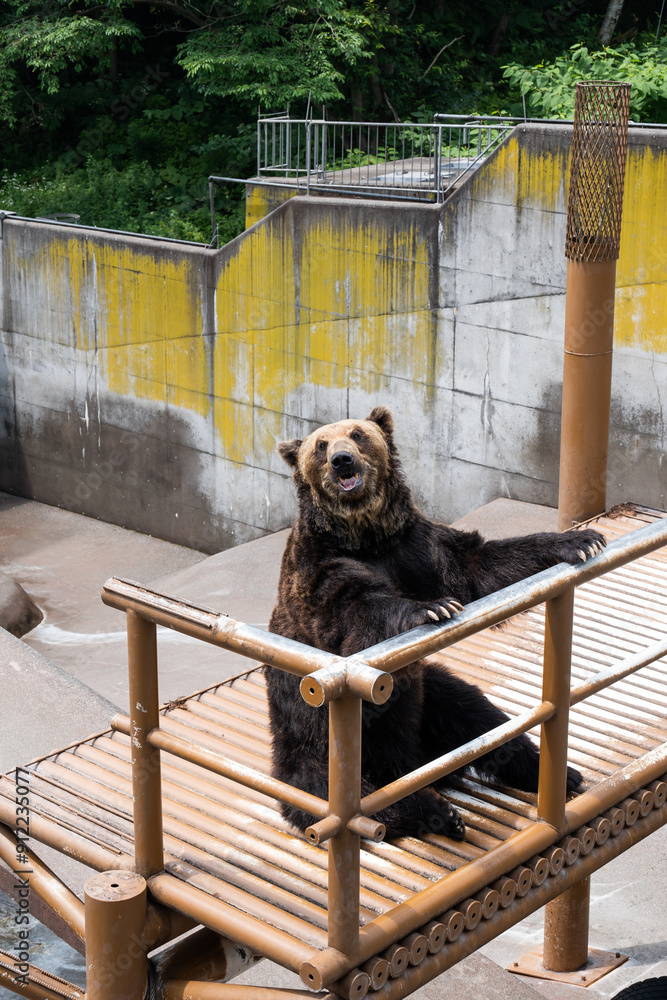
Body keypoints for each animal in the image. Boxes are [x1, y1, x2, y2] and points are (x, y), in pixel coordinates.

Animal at [265, 406, 606, 840]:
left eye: (358, 434)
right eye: (320, 445)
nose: (342, 460)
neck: (364, 537)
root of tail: (414, 763)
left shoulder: (415, 547)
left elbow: (477, 565)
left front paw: (579, 541)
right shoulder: (316, 568)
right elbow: (354, 611)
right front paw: (433, 608)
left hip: (427, 696)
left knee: (480, 718)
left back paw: (557, 774)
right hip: (314, 738)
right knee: (339, 796)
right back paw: (438, 813)